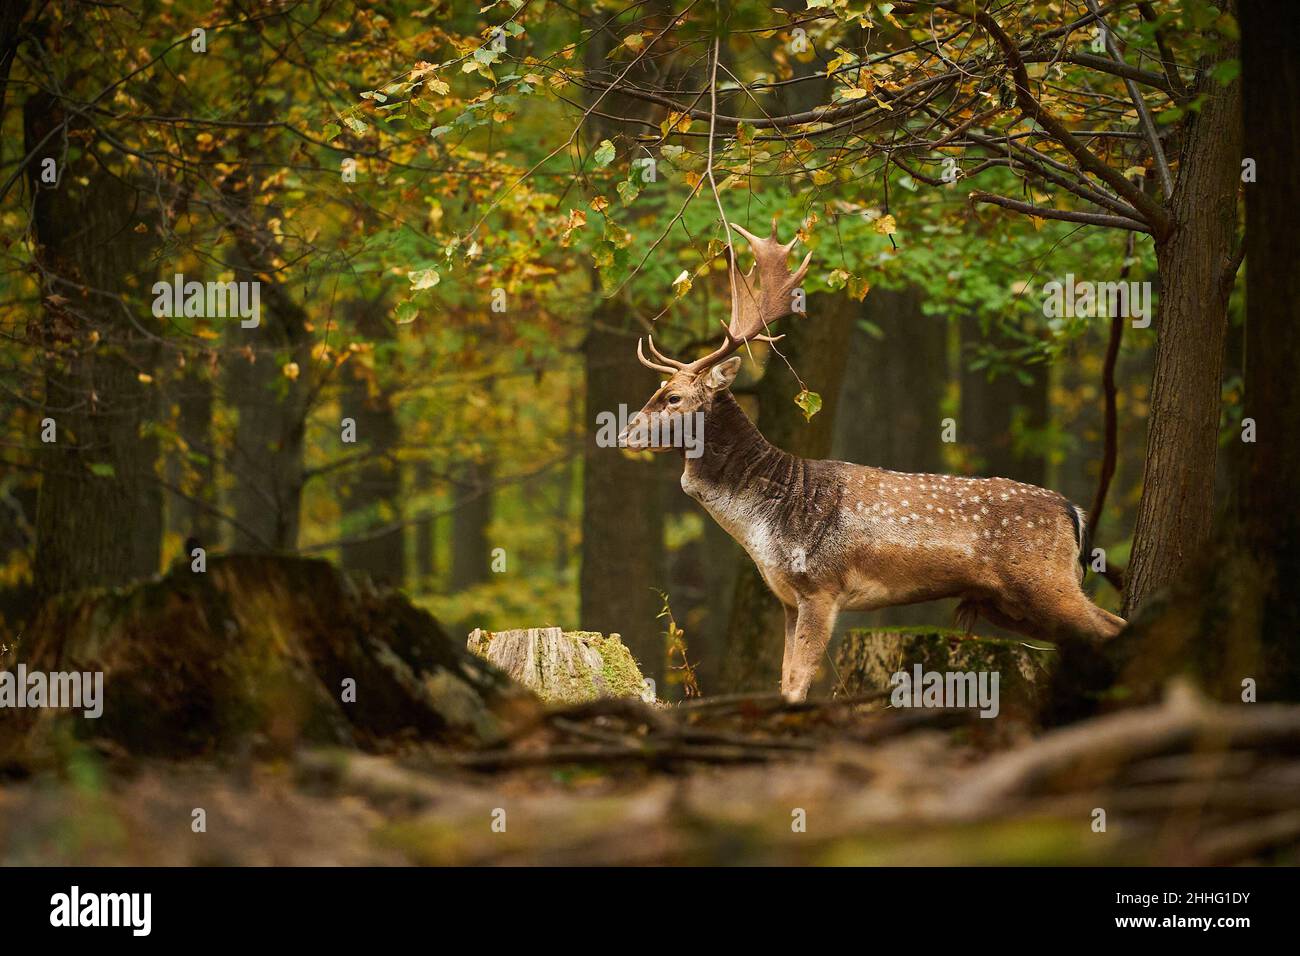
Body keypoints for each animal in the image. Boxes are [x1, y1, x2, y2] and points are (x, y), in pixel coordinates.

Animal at [618, 220, 1126, 702]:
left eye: (674, 397)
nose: (623, 431)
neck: (766, 524)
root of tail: (1073, 511)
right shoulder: (787, 598)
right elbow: (783, 678)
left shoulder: (822, 586)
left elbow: (797, 683)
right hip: (1009, 603)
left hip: (1045, 580)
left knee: (1108, 627)